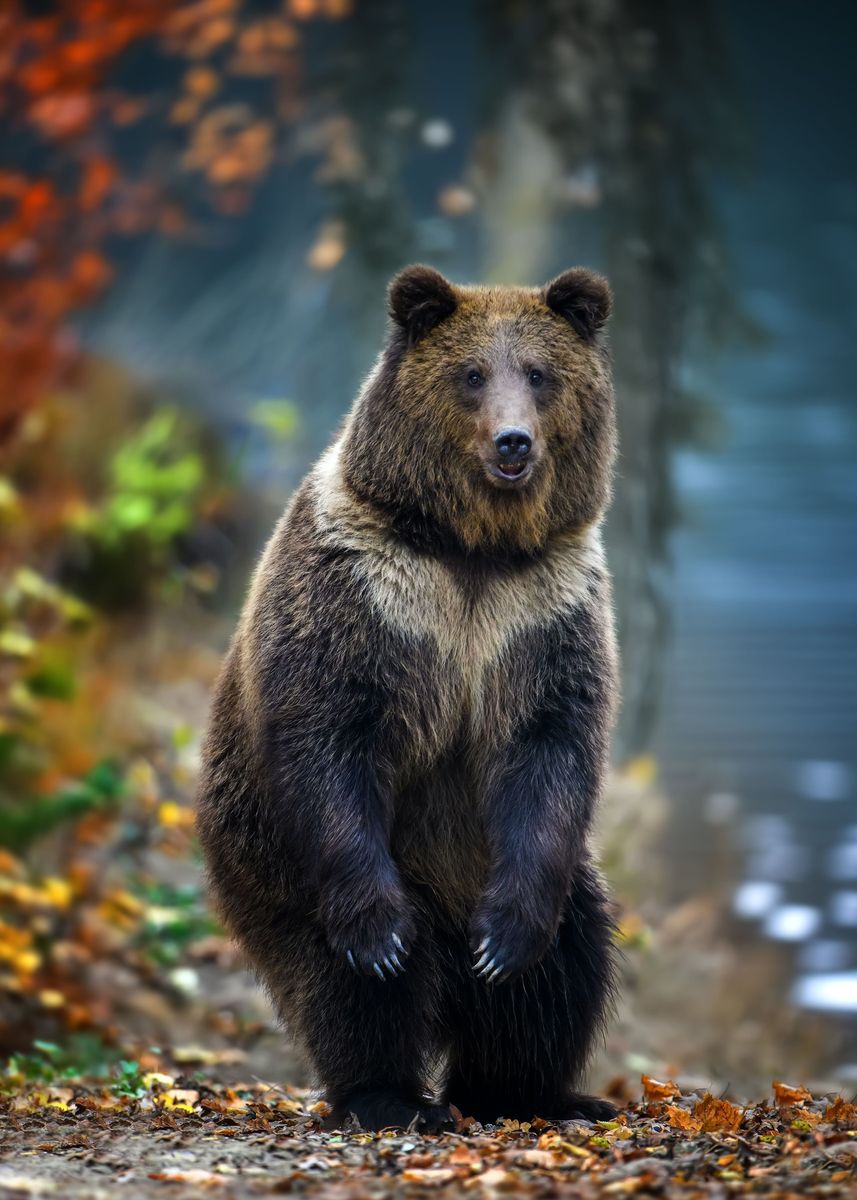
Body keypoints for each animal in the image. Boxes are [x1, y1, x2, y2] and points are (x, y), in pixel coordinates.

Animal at [196, 264, 619, 1132]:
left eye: (539, 373)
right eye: (471, 374)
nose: (513, 442)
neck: (471, 551)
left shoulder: (541, 613)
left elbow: (553, 743)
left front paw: (506, 945)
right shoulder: (368, 595)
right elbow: (328, 734)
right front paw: (377, 941)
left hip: (512, 872)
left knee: (566, 964)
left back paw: (536, 1090)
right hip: (276, 866)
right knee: (350, 989)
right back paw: (388, 1094)